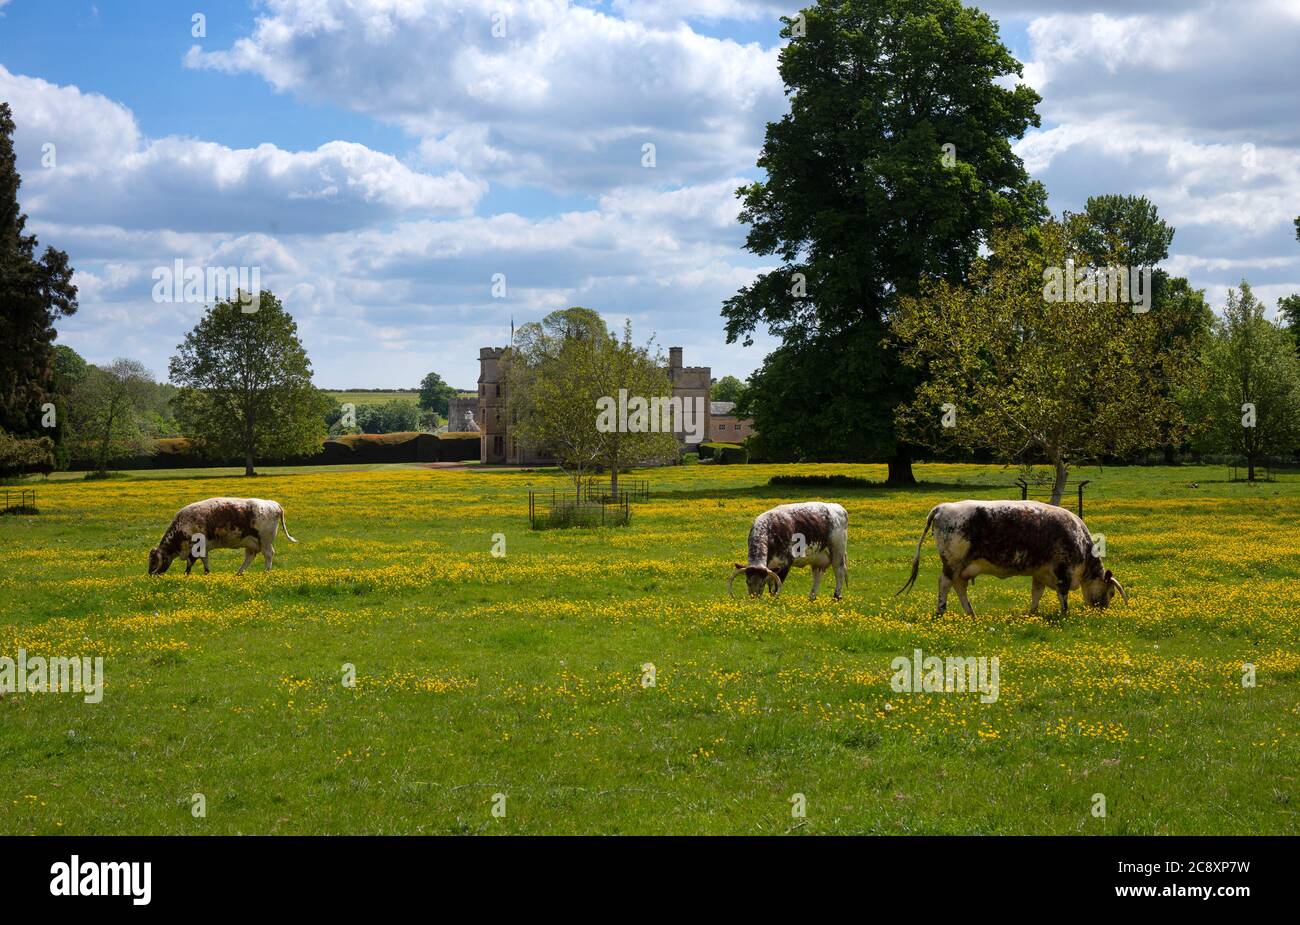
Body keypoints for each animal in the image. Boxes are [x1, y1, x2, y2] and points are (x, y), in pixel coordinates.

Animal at [147, 498, 296, 576]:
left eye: (153, 561)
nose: (150, 574)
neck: (183, 524)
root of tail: (273, 504)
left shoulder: (196, 548)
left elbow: (190, 563)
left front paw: (186, 575)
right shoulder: (203, 549)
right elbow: (205, 561)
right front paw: (207, 573)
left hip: (265, 541)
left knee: (269, 554)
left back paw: (266, 572)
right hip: (251, 543)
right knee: (249, 557)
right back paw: (239, 573)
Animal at [896, 500, 1126, 618]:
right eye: (1111, 593)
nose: (1102, 609)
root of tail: (942, 507)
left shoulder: (1040, 572)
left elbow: (1037, 594)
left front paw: (1032, 613)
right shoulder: (1063, 571)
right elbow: (1063, 596)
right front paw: (1064, 614)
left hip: (962, 567)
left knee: (959, 587)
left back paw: (972, 614)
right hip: (952, 563)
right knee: (945, 583)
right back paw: (941, 611)